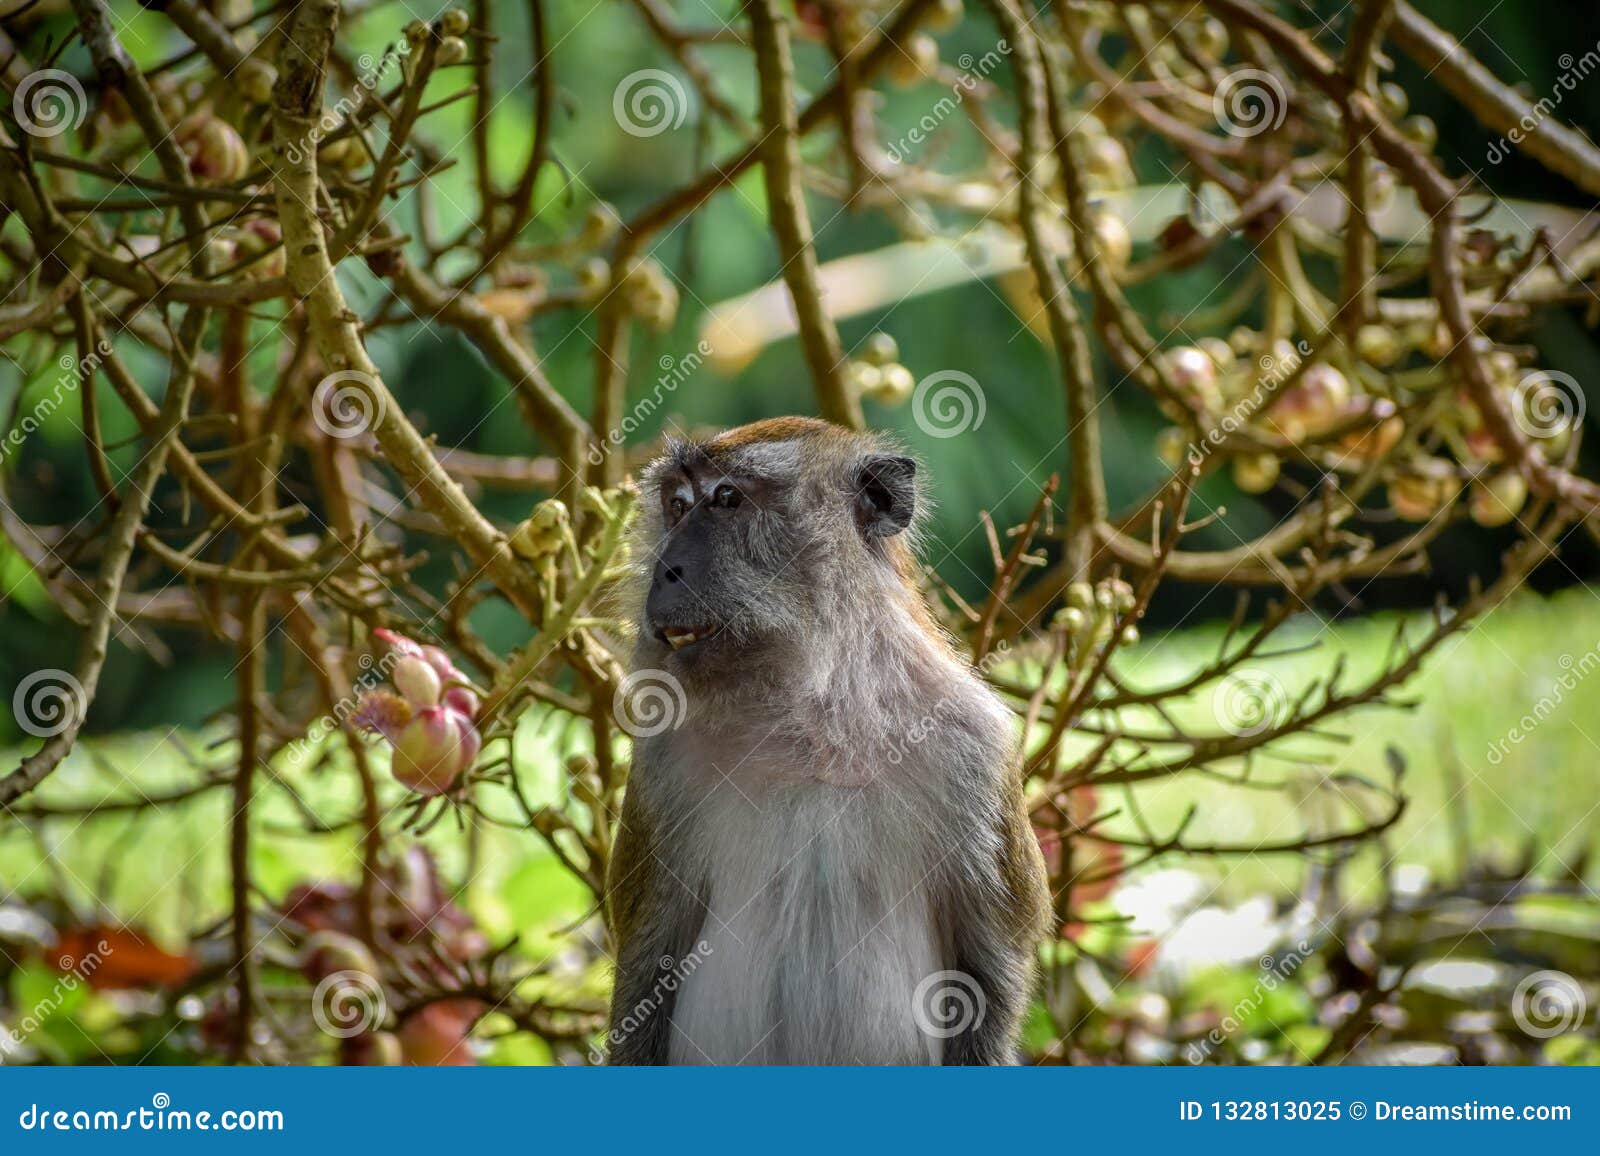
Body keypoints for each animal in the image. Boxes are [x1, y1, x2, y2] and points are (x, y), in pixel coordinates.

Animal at [604, 417, 1049, 1065]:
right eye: (677, 505)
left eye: (727, 498)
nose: (665, 569)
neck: (819, 717)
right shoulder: (664, 761)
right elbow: (648, 959)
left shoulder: (975, 748)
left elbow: (989, 972)